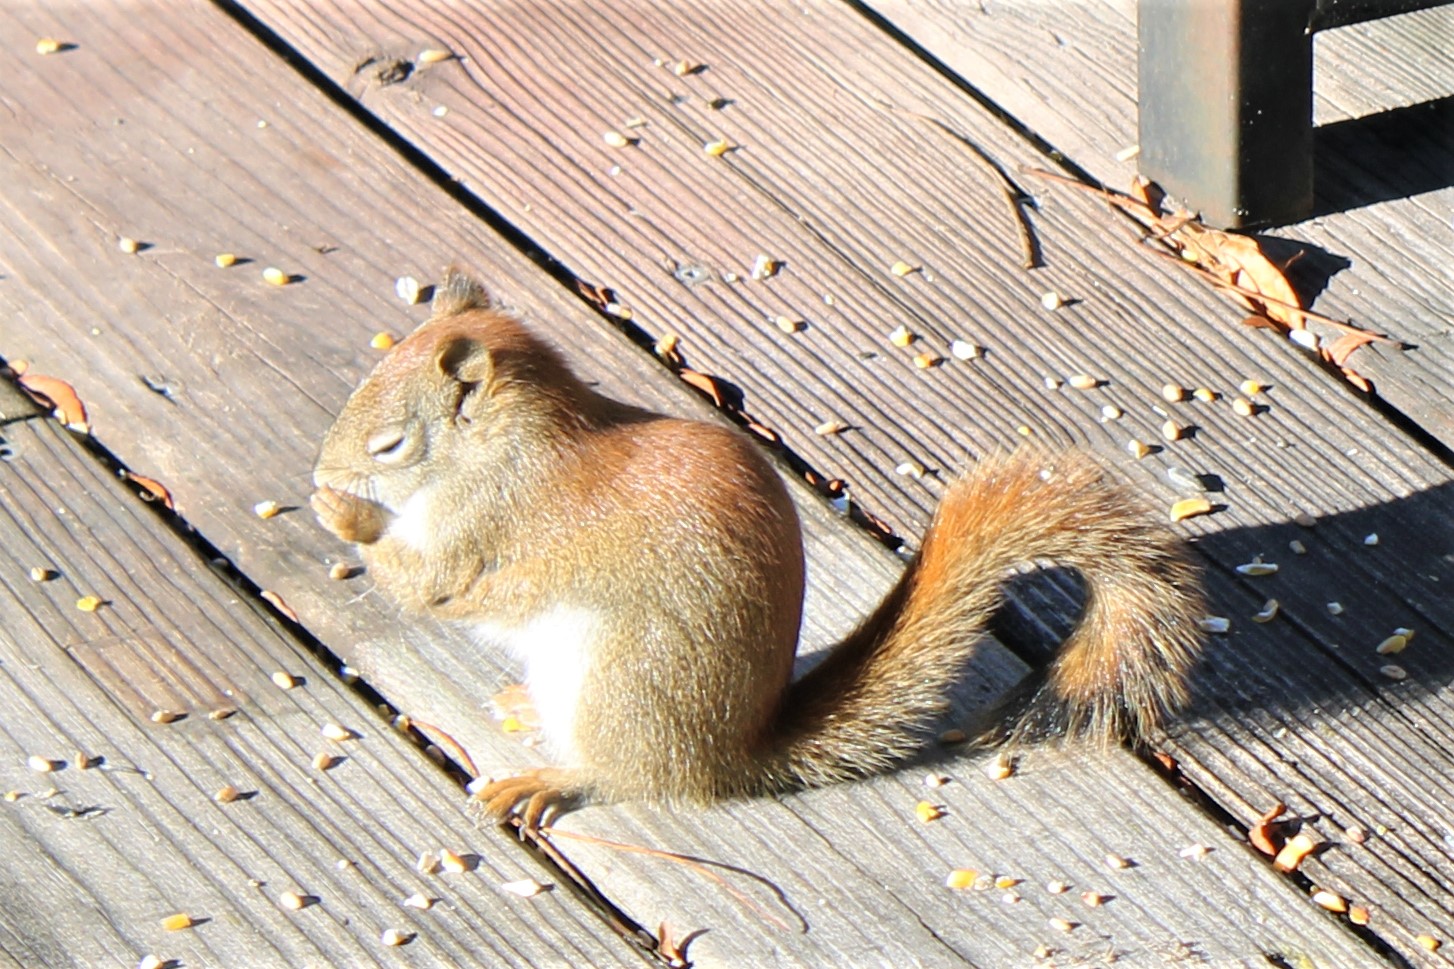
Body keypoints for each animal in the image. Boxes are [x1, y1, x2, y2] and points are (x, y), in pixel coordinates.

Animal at [312, 269, 1205, 828]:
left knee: (625, 775)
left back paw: (551, 776)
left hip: (619, 690)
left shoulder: (486, 521)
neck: (512, 444)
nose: (322, 469)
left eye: (391, 444)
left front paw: (342, 513)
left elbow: (424, 580)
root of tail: (727, 754)